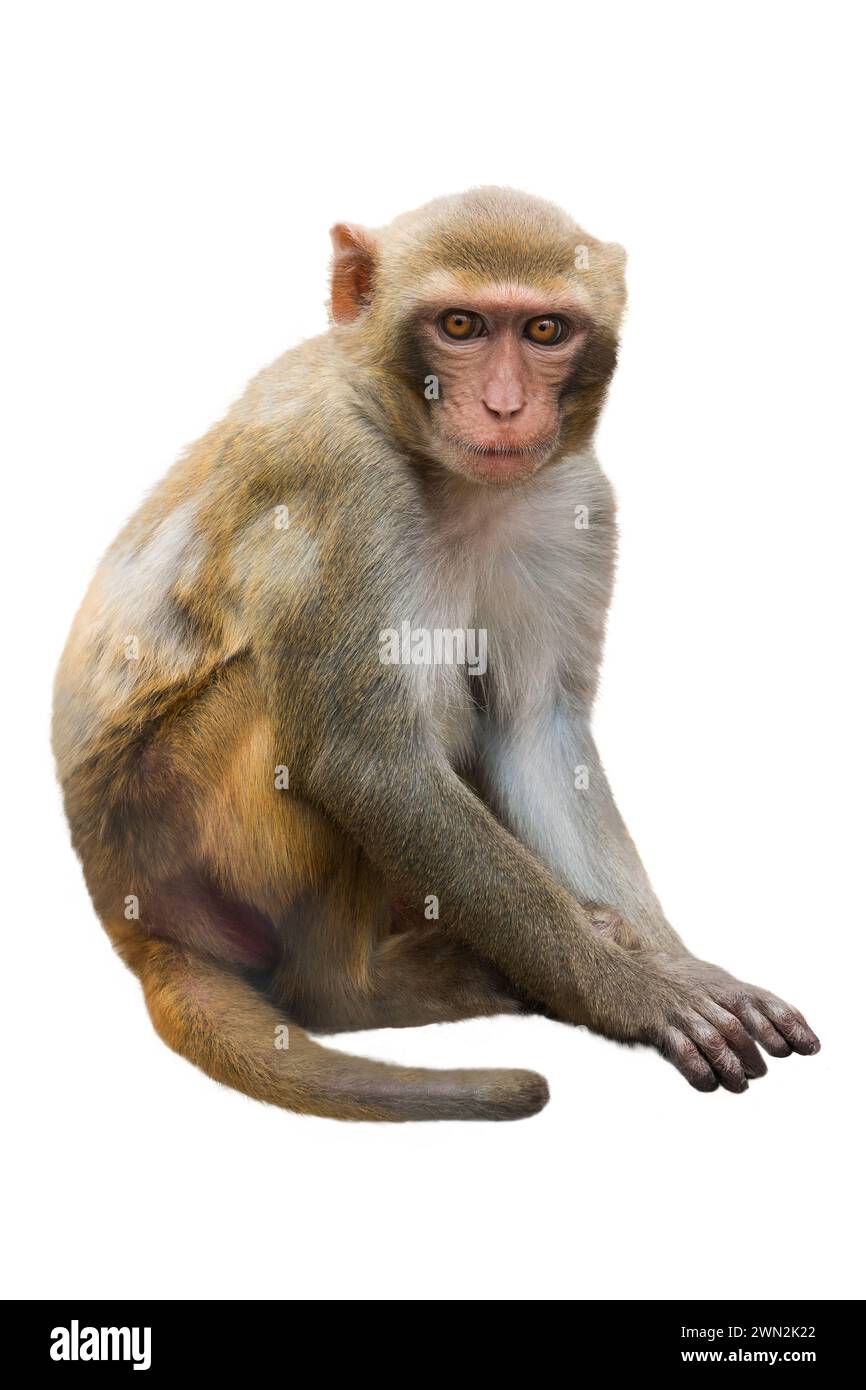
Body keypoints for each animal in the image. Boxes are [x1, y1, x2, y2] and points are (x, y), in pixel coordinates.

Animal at [52, 187, 820, 1122]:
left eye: (545, 331)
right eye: (460, 324)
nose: (504, 407)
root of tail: (131, 919)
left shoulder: (575, 500)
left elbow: (536, 735)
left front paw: (682, 969)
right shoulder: (335, 475)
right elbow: (368, 763)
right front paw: (631, 992)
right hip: (174, 825)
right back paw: (382, 989)